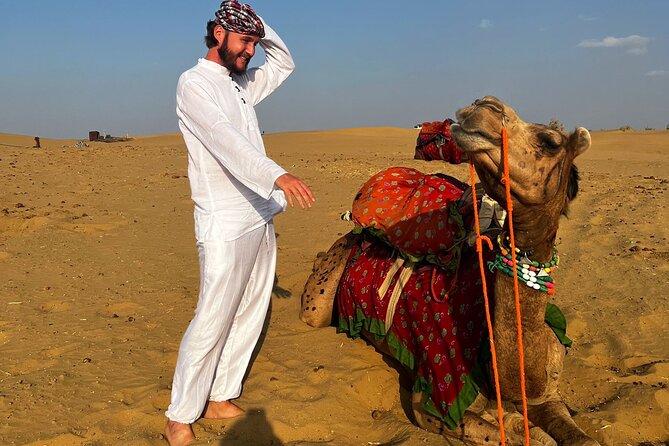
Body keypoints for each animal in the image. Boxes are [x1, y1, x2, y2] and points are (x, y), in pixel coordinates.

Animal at [300, 96, 598, 445]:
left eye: (550, 142)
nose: (485, 106)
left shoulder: (547, 395)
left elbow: (583, 439)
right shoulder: (434, 400)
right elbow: (514, 436)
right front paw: (520, 426)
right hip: (322, 296)